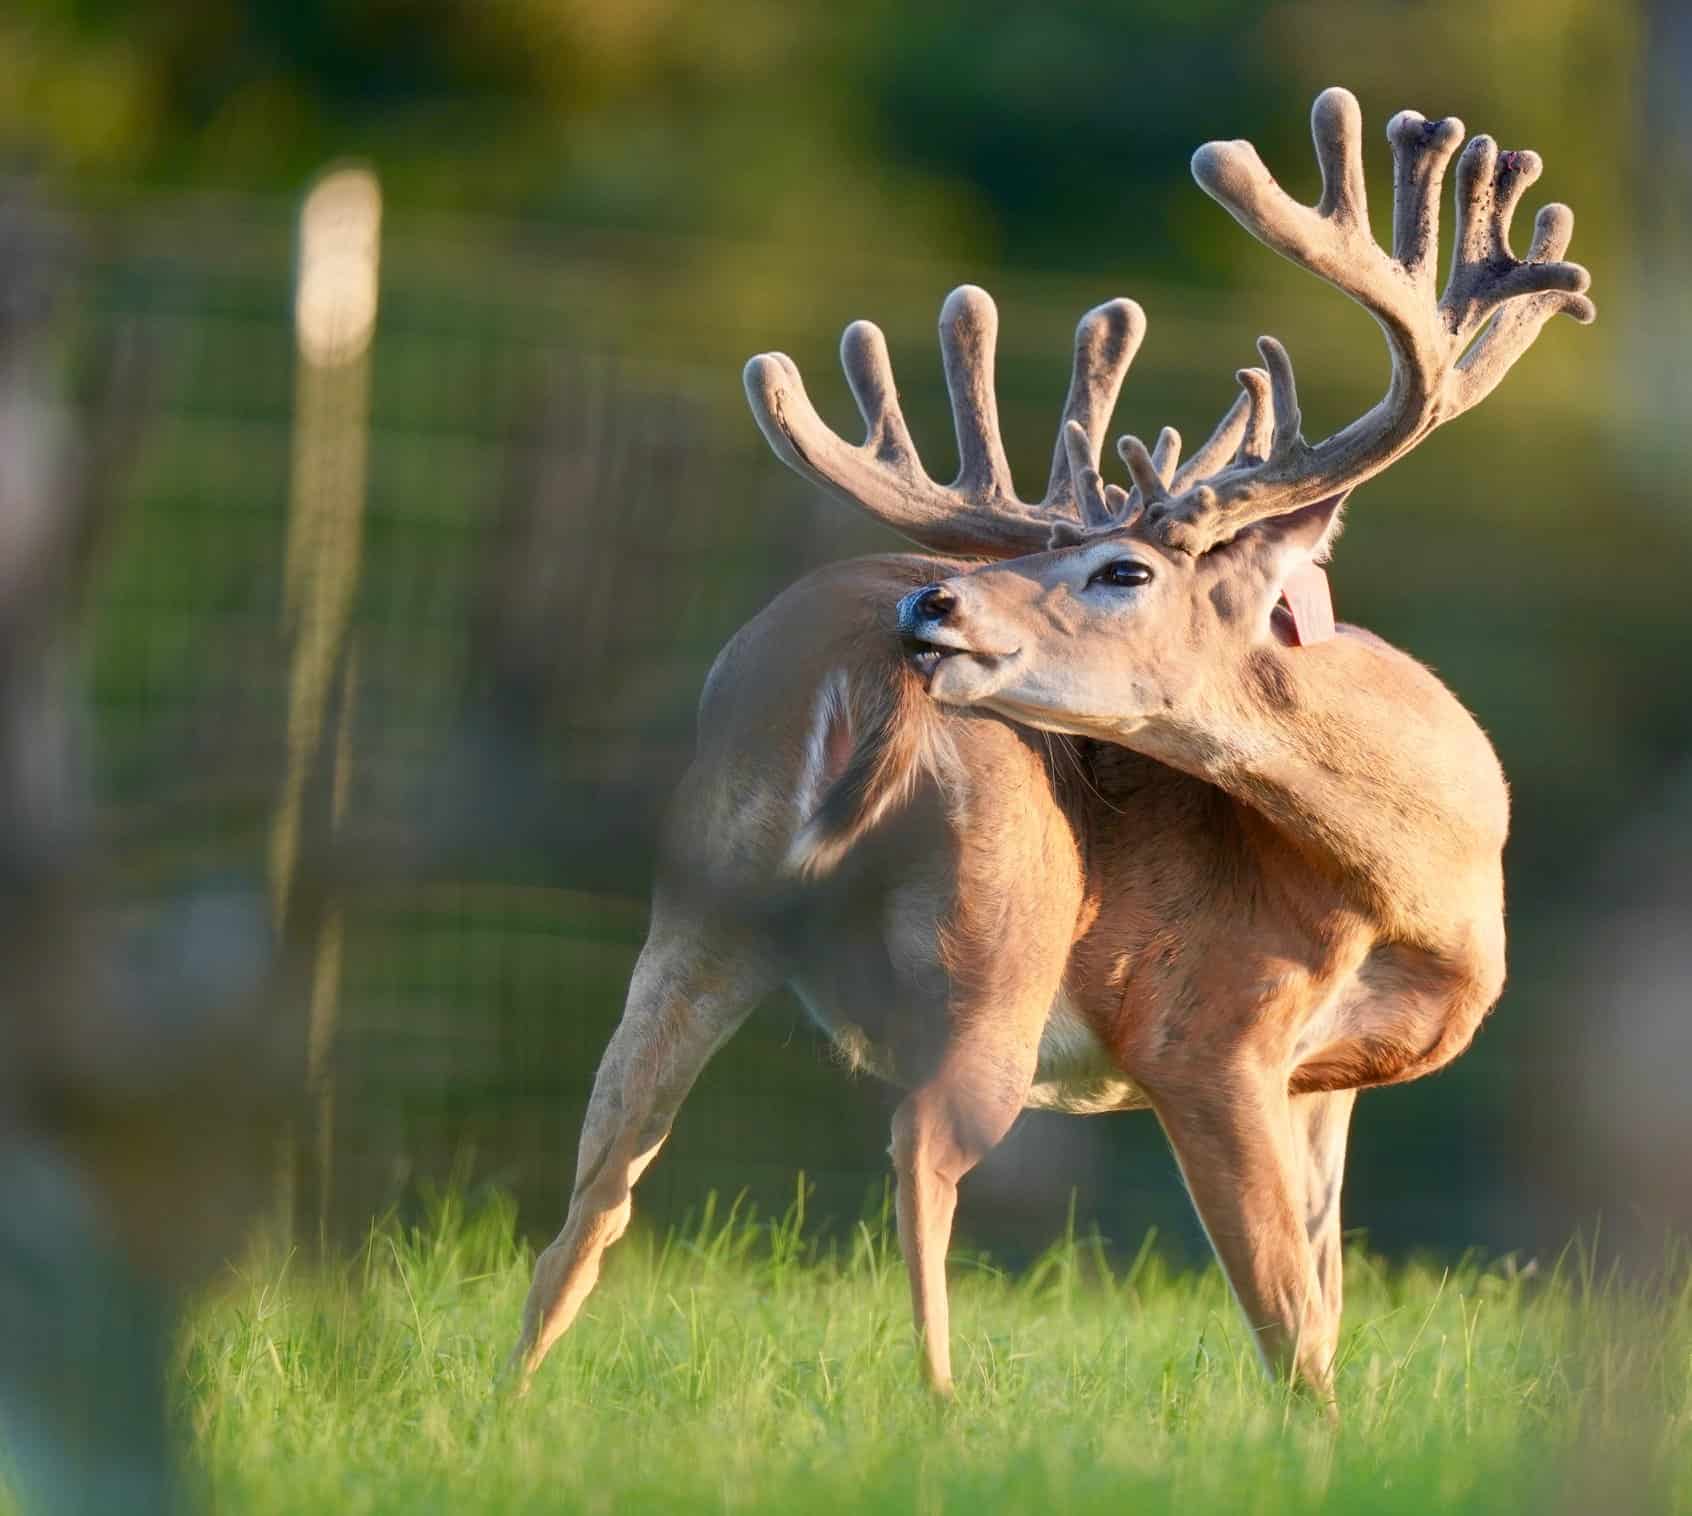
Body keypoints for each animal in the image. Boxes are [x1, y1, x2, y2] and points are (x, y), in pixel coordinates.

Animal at [510, 87, 1593, 1405]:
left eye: (1119, 567)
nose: (933, 603)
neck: (1426, 875)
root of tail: (839, 665)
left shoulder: (1323, 1082)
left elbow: (1329, 1297)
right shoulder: (1209, 1033)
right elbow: (1289, 1322)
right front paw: (1317, 1436)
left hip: (699, 911)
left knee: (594, 1193)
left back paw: (509, 1404)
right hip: (996, 934)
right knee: (918, 1157)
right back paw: (941, 1411)